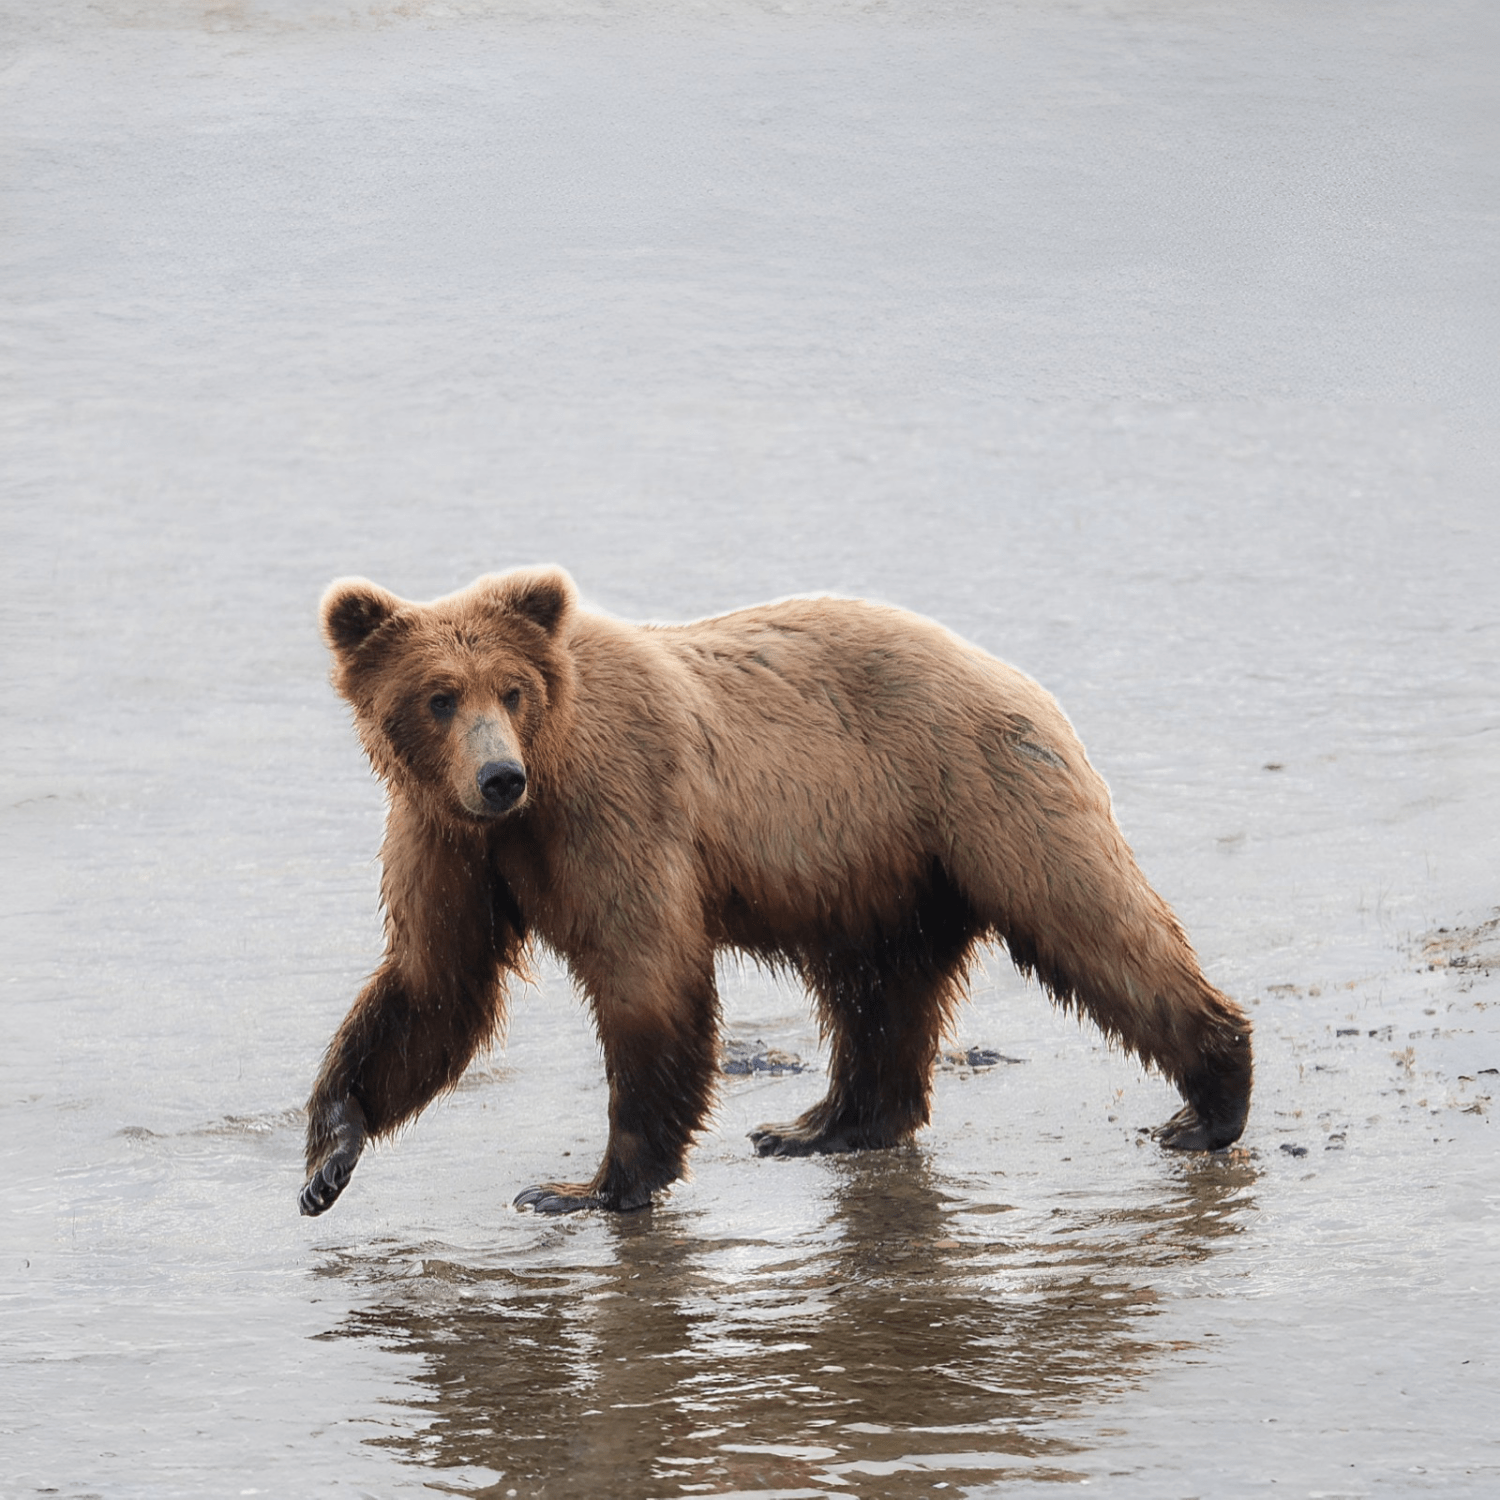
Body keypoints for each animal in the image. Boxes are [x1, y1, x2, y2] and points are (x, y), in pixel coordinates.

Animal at [299, 568, 1252, 1217]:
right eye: (438, 696)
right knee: (878, 989)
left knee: (1091, 924)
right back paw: (824, 1124)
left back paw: (1209, 1100)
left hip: (978, 798)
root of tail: (1011, 673)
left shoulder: (613, 807)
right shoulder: (446, 840)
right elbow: (432, 984)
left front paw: (588, 1184)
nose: (499, 776)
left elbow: (645, 972)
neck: (539, 787)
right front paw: (327, 1156)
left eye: (511, 688)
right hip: (878, 866)